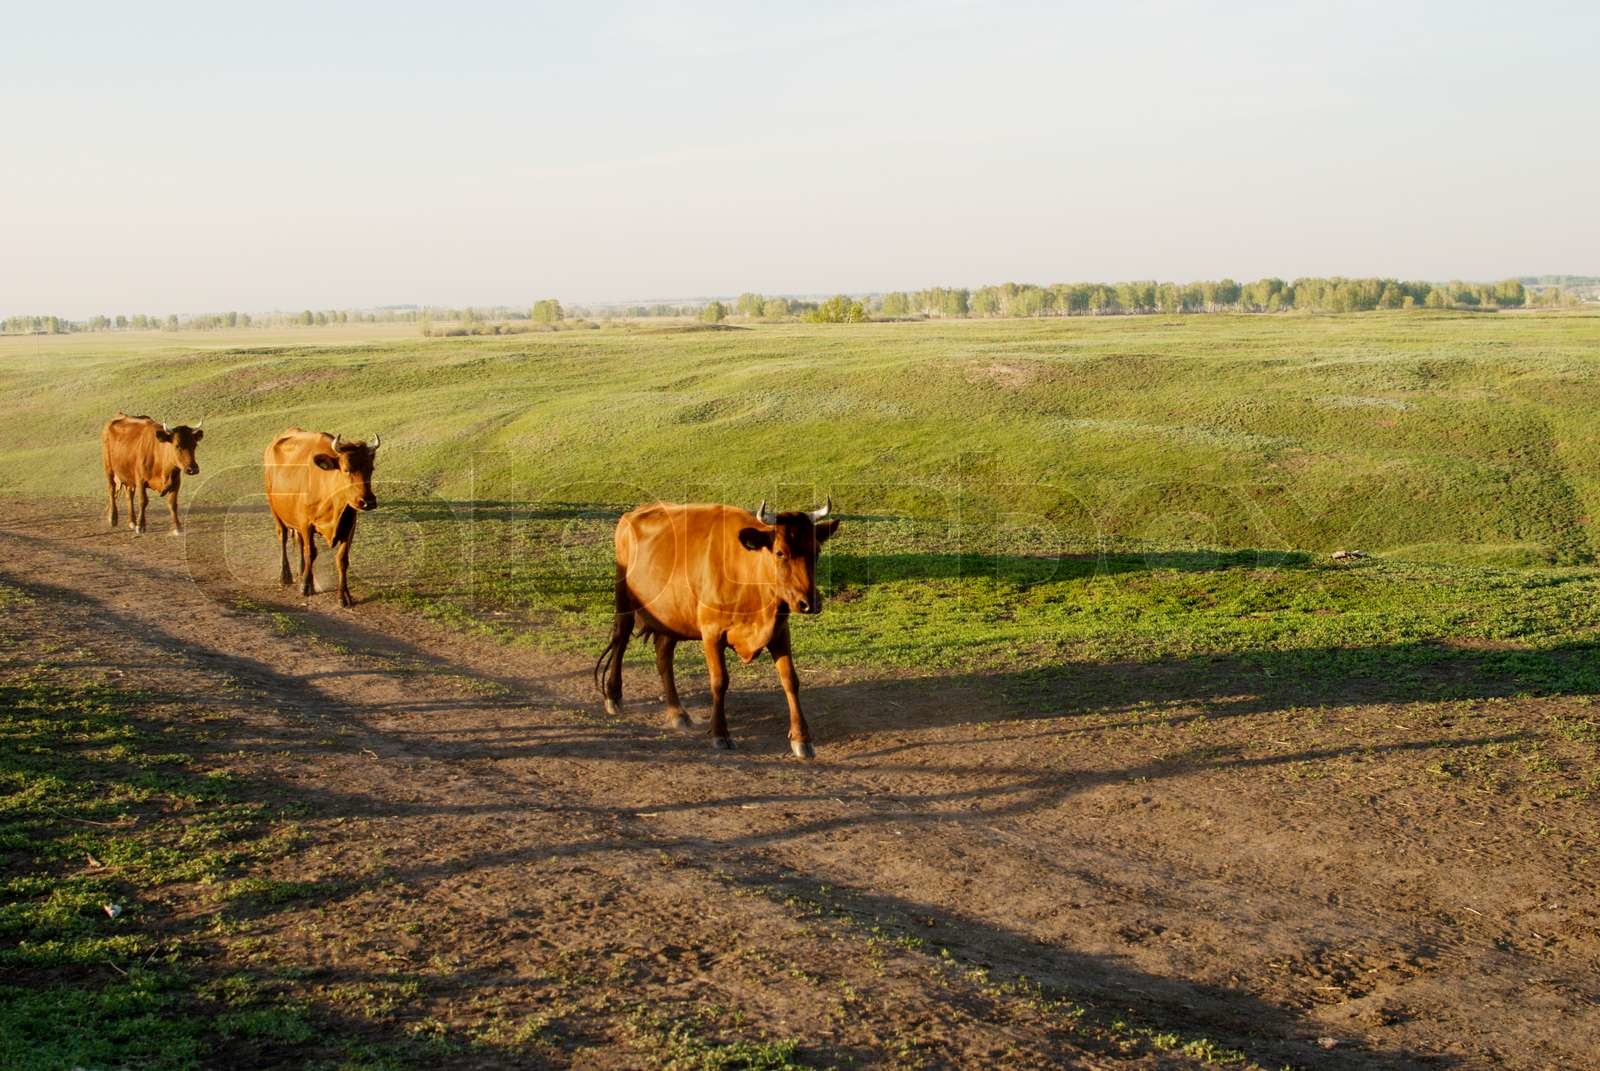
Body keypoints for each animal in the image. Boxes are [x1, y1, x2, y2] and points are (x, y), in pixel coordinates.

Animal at [263, 428, 380, 608]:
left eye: (371, 469)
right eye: (346, 469)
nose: (368, 501)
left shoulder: (349, 526)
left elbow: (342, 559)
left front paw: (343, 596)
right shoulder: (306, 524)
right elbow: (311, 552)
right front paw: (306, 585)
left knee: (299, 544)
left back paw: (300, 570)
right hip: (274, 509)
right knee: (283, 536)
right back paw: (286, 575)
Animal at [595, 499, 840, 758]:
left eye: (816, 551)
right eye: (780, 552)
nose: (809, 603)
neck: (747, 574)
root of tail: (633, 513)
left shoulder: (779, 631)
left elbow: (790, 680)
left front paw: (802, 738)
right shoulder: (711, 633)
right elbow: (719, 681)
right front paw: (720, 733)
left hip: (671, 614)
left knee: (663, 656)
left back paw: (677, 712)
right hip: (624, 599)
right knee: (621, 638)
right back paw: (613, 696)